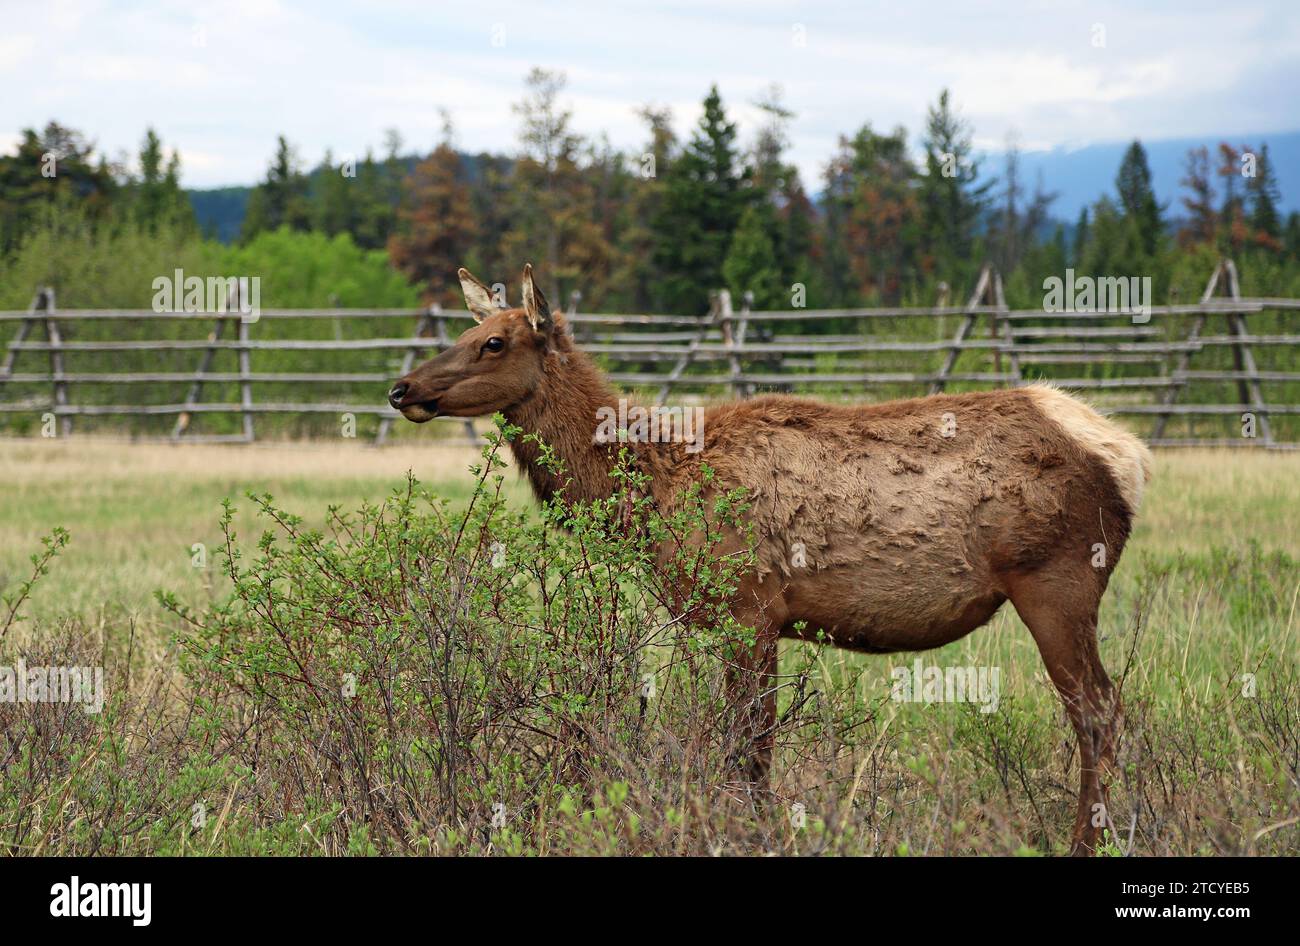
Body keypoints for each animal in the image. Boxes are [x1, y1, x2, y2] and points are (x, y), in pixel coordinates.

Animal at [388, 264, 1153, 856]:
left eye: (492, 342)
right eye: (460, 334)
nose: (401, 388)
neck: (654, 489)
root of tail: (1129, 454)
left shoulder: (748, 608)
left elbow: (749, 749)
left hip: (1056, 579)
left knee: (1098, 711)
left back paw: (1085, 842)